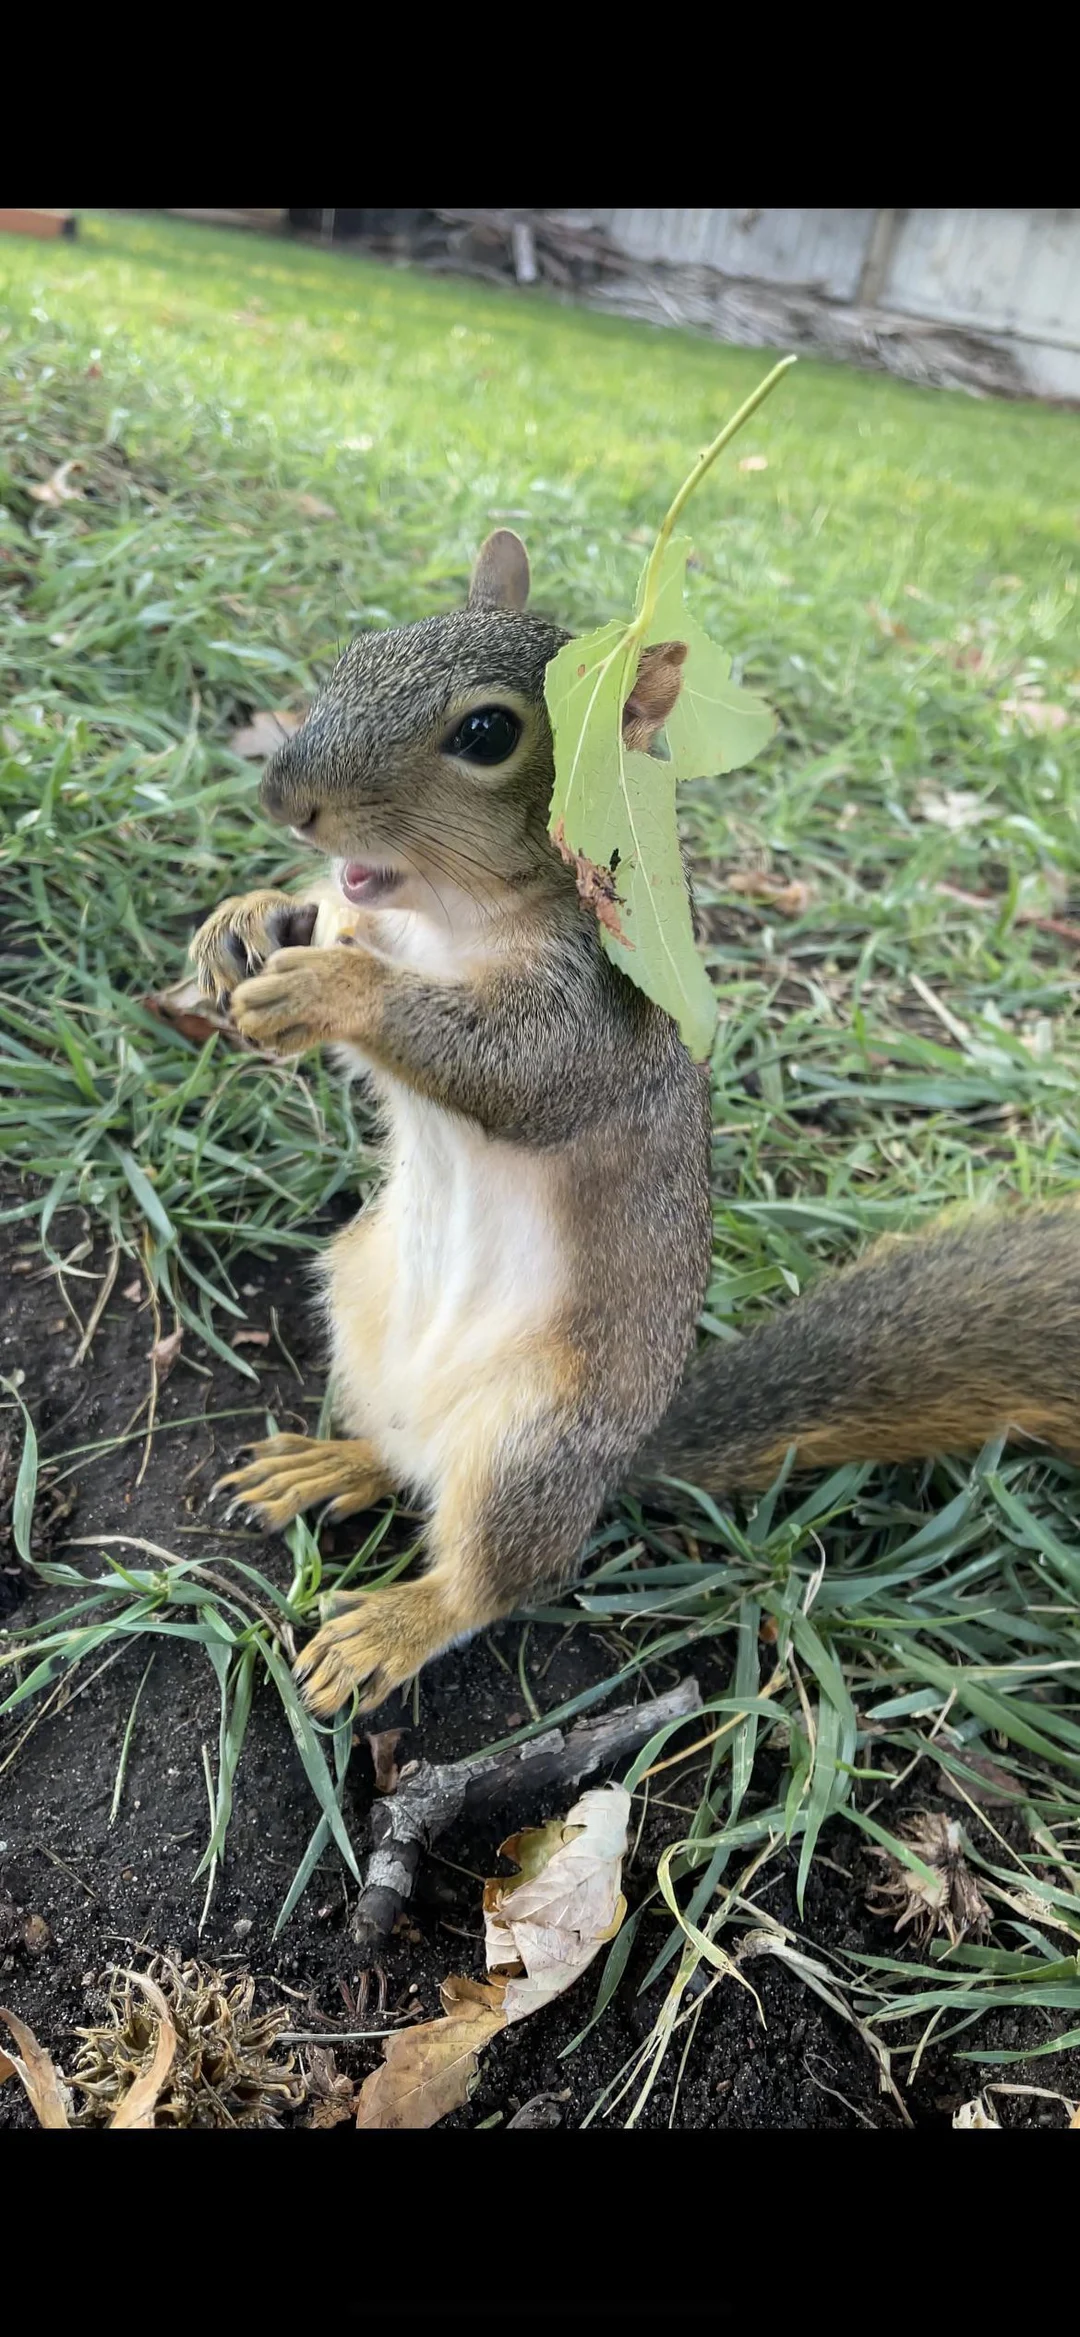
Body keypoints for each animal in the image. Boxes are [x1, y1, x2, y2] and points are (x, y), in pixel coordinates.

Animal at [191, 529, 1080, 1719]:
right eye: (358, 651)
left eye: (487, 734)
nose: (284, 797)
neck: (437, 921)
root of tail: (622, 1456)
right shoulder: (362, 906)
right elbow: (320, 914)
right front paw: (240, 920)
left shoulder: (599, 1014)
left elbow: (517, 1072)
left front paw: (336, 989)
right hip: (359, 1305)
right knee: (401, 1462)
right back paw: (335, 1462)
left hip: (533, 1443)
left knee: (497, 1576)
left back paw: (392, 1623)